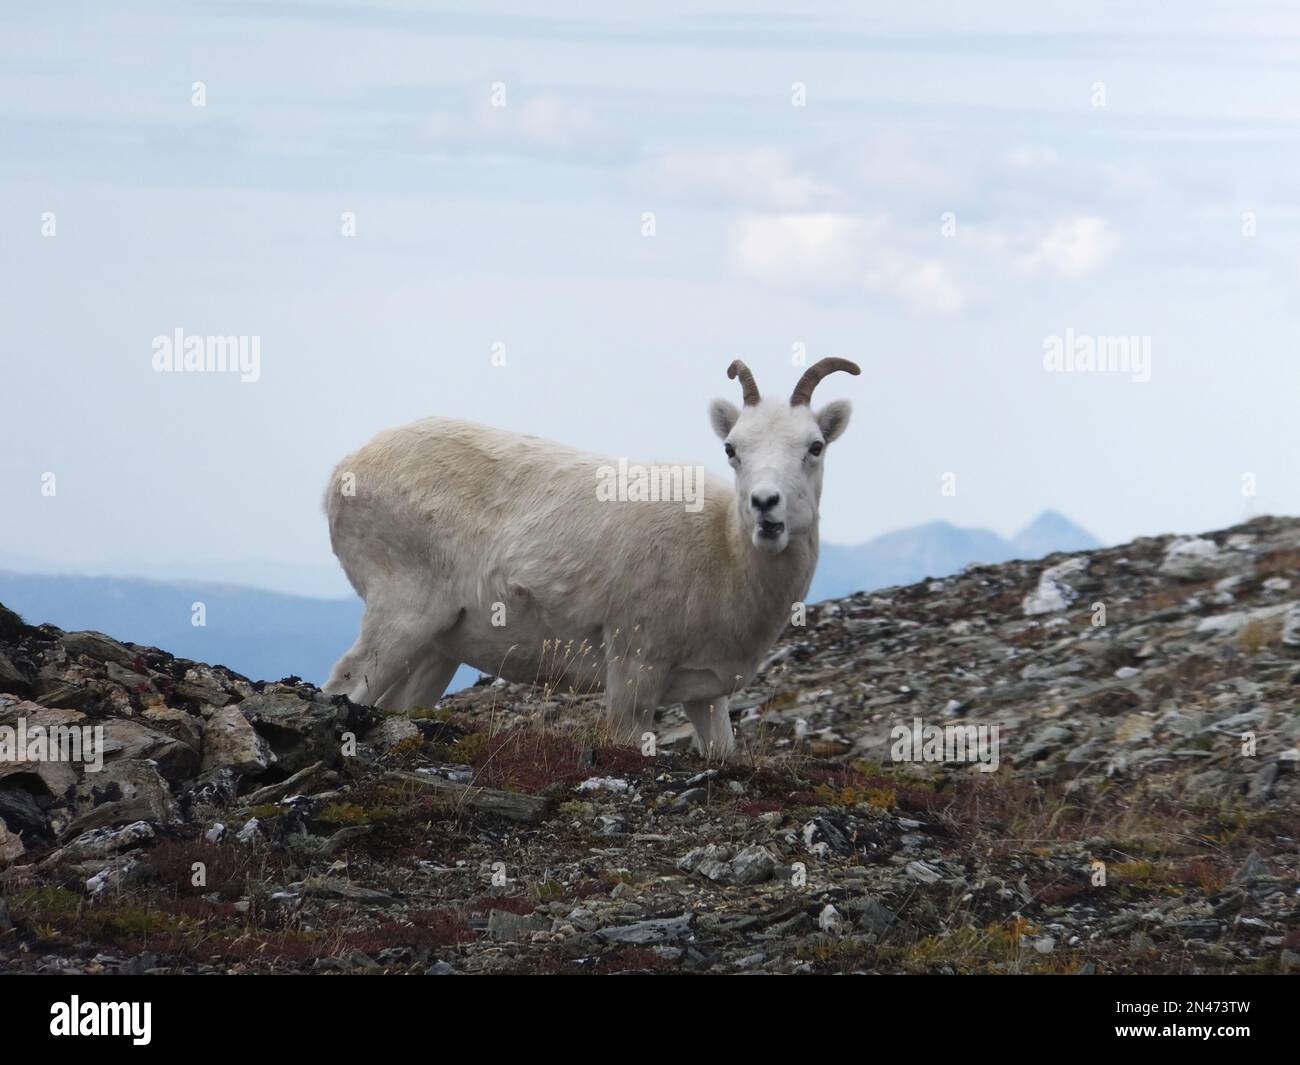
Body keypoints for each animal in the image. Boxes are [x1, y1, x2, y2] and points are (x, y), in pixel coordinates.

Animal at [322, 358, 858, 758]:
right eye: (732, 448)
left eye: (814, 446)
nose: (766, 506)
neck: (724, 555)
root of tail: (343, 471)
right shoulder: (633, 674)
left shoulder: (707, 697)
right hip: (402, 613)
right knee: (346, 685)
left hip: (438, 649)